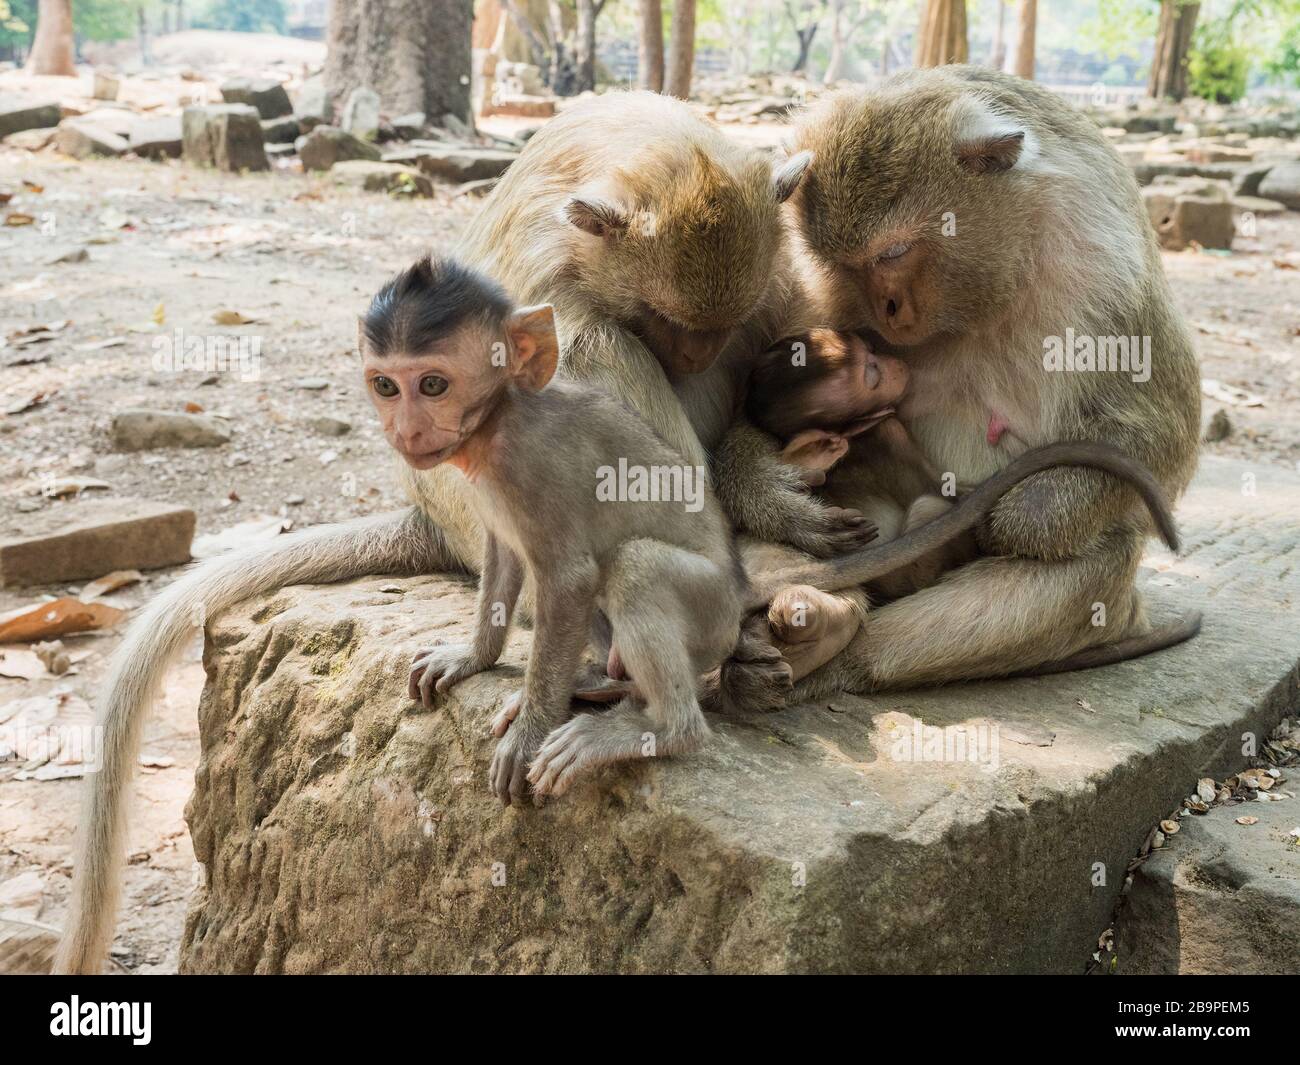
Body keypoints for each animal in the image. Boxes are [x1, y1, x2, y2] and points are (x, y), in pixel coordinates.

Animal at [724, 64, 1206, 697]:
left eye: (893, 252)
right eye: (846, 264)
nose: (888, 309)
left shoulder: (1106, 269)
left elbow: (1162, 434)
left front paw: (1018, 520)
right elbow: (755, 404)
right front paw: (778, 498)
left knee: (1090, 565)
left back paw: (839, 650)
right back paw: (808, 626)